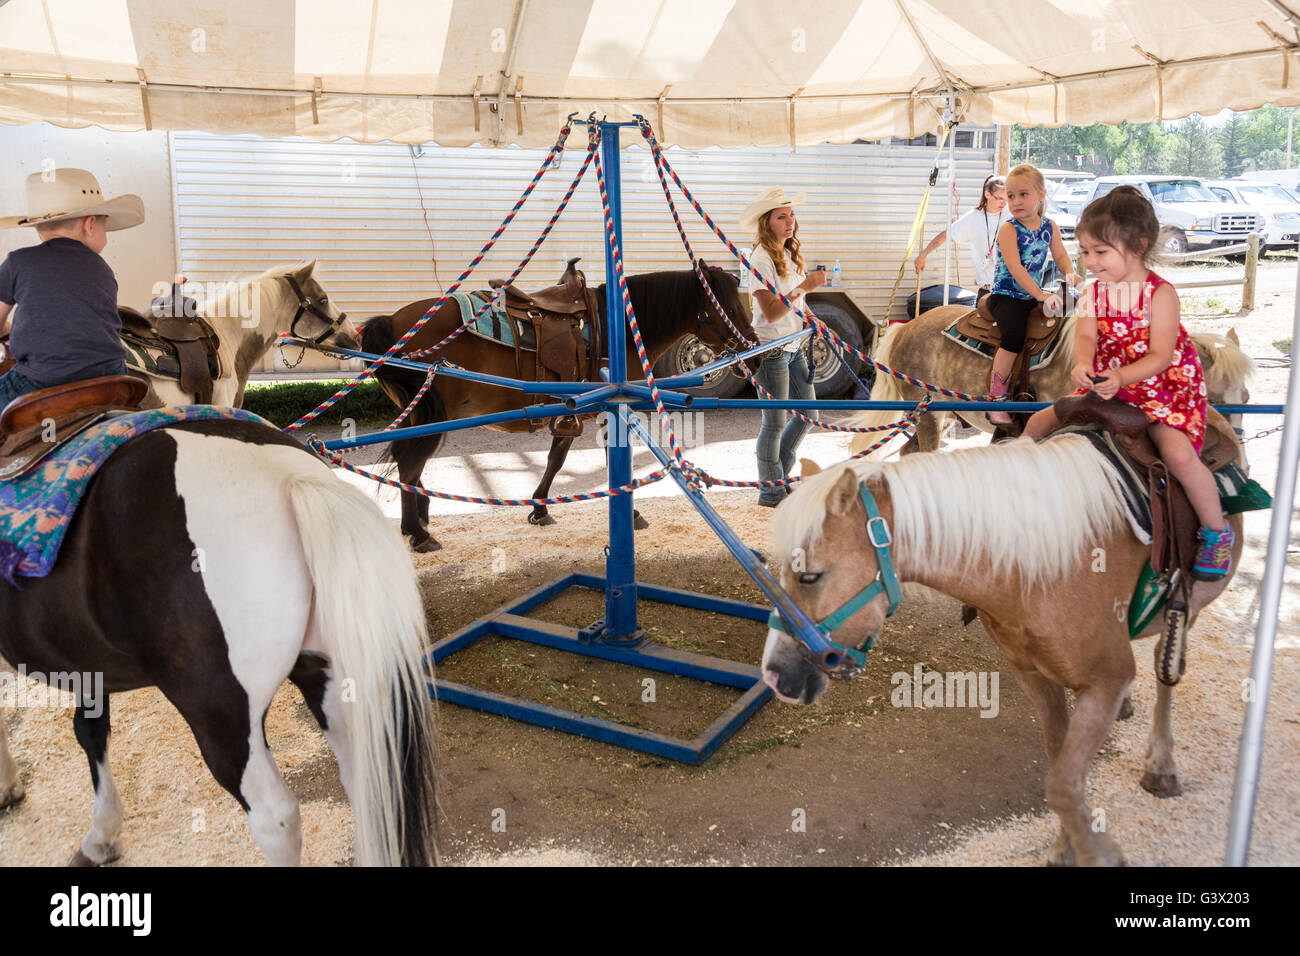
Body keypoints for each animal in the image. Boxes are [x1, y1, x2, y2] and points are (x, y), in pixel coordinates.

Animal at [0, 416, 438, 866]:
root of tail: (288, 477)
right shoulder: (89, 666)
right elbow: (91, 728)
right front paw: (101, 834)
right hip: (328, 678)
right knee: (365, 786)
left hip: (220, 714)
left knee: (276, 817)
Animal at [360, 263, 754, 552]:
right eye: (730, 307)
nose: (753, 349)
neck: (621, 329)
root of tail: (393, 322)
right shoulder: (613, 408)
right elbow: (609, 459)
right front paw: (631, 513)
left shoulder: (573, 410)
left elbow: (556, 457)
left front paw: (539, 507)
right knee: (410, 464)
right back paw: (418, 532)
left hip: (419, 414)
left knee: (410, 463)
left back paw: (421, 520)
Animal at [760, 434, 1243, 866]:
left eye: (809, 576)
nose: (773, 675)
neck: (1039, 567)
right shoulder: (1033, 674)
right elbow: (1061, 769)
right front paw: (1067, 847)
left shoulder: (1105, 679)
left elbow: (1062, 783)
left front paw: (1097, 853)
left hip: (1186, 611)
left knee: (1166, 672)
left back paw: (1161, 765)